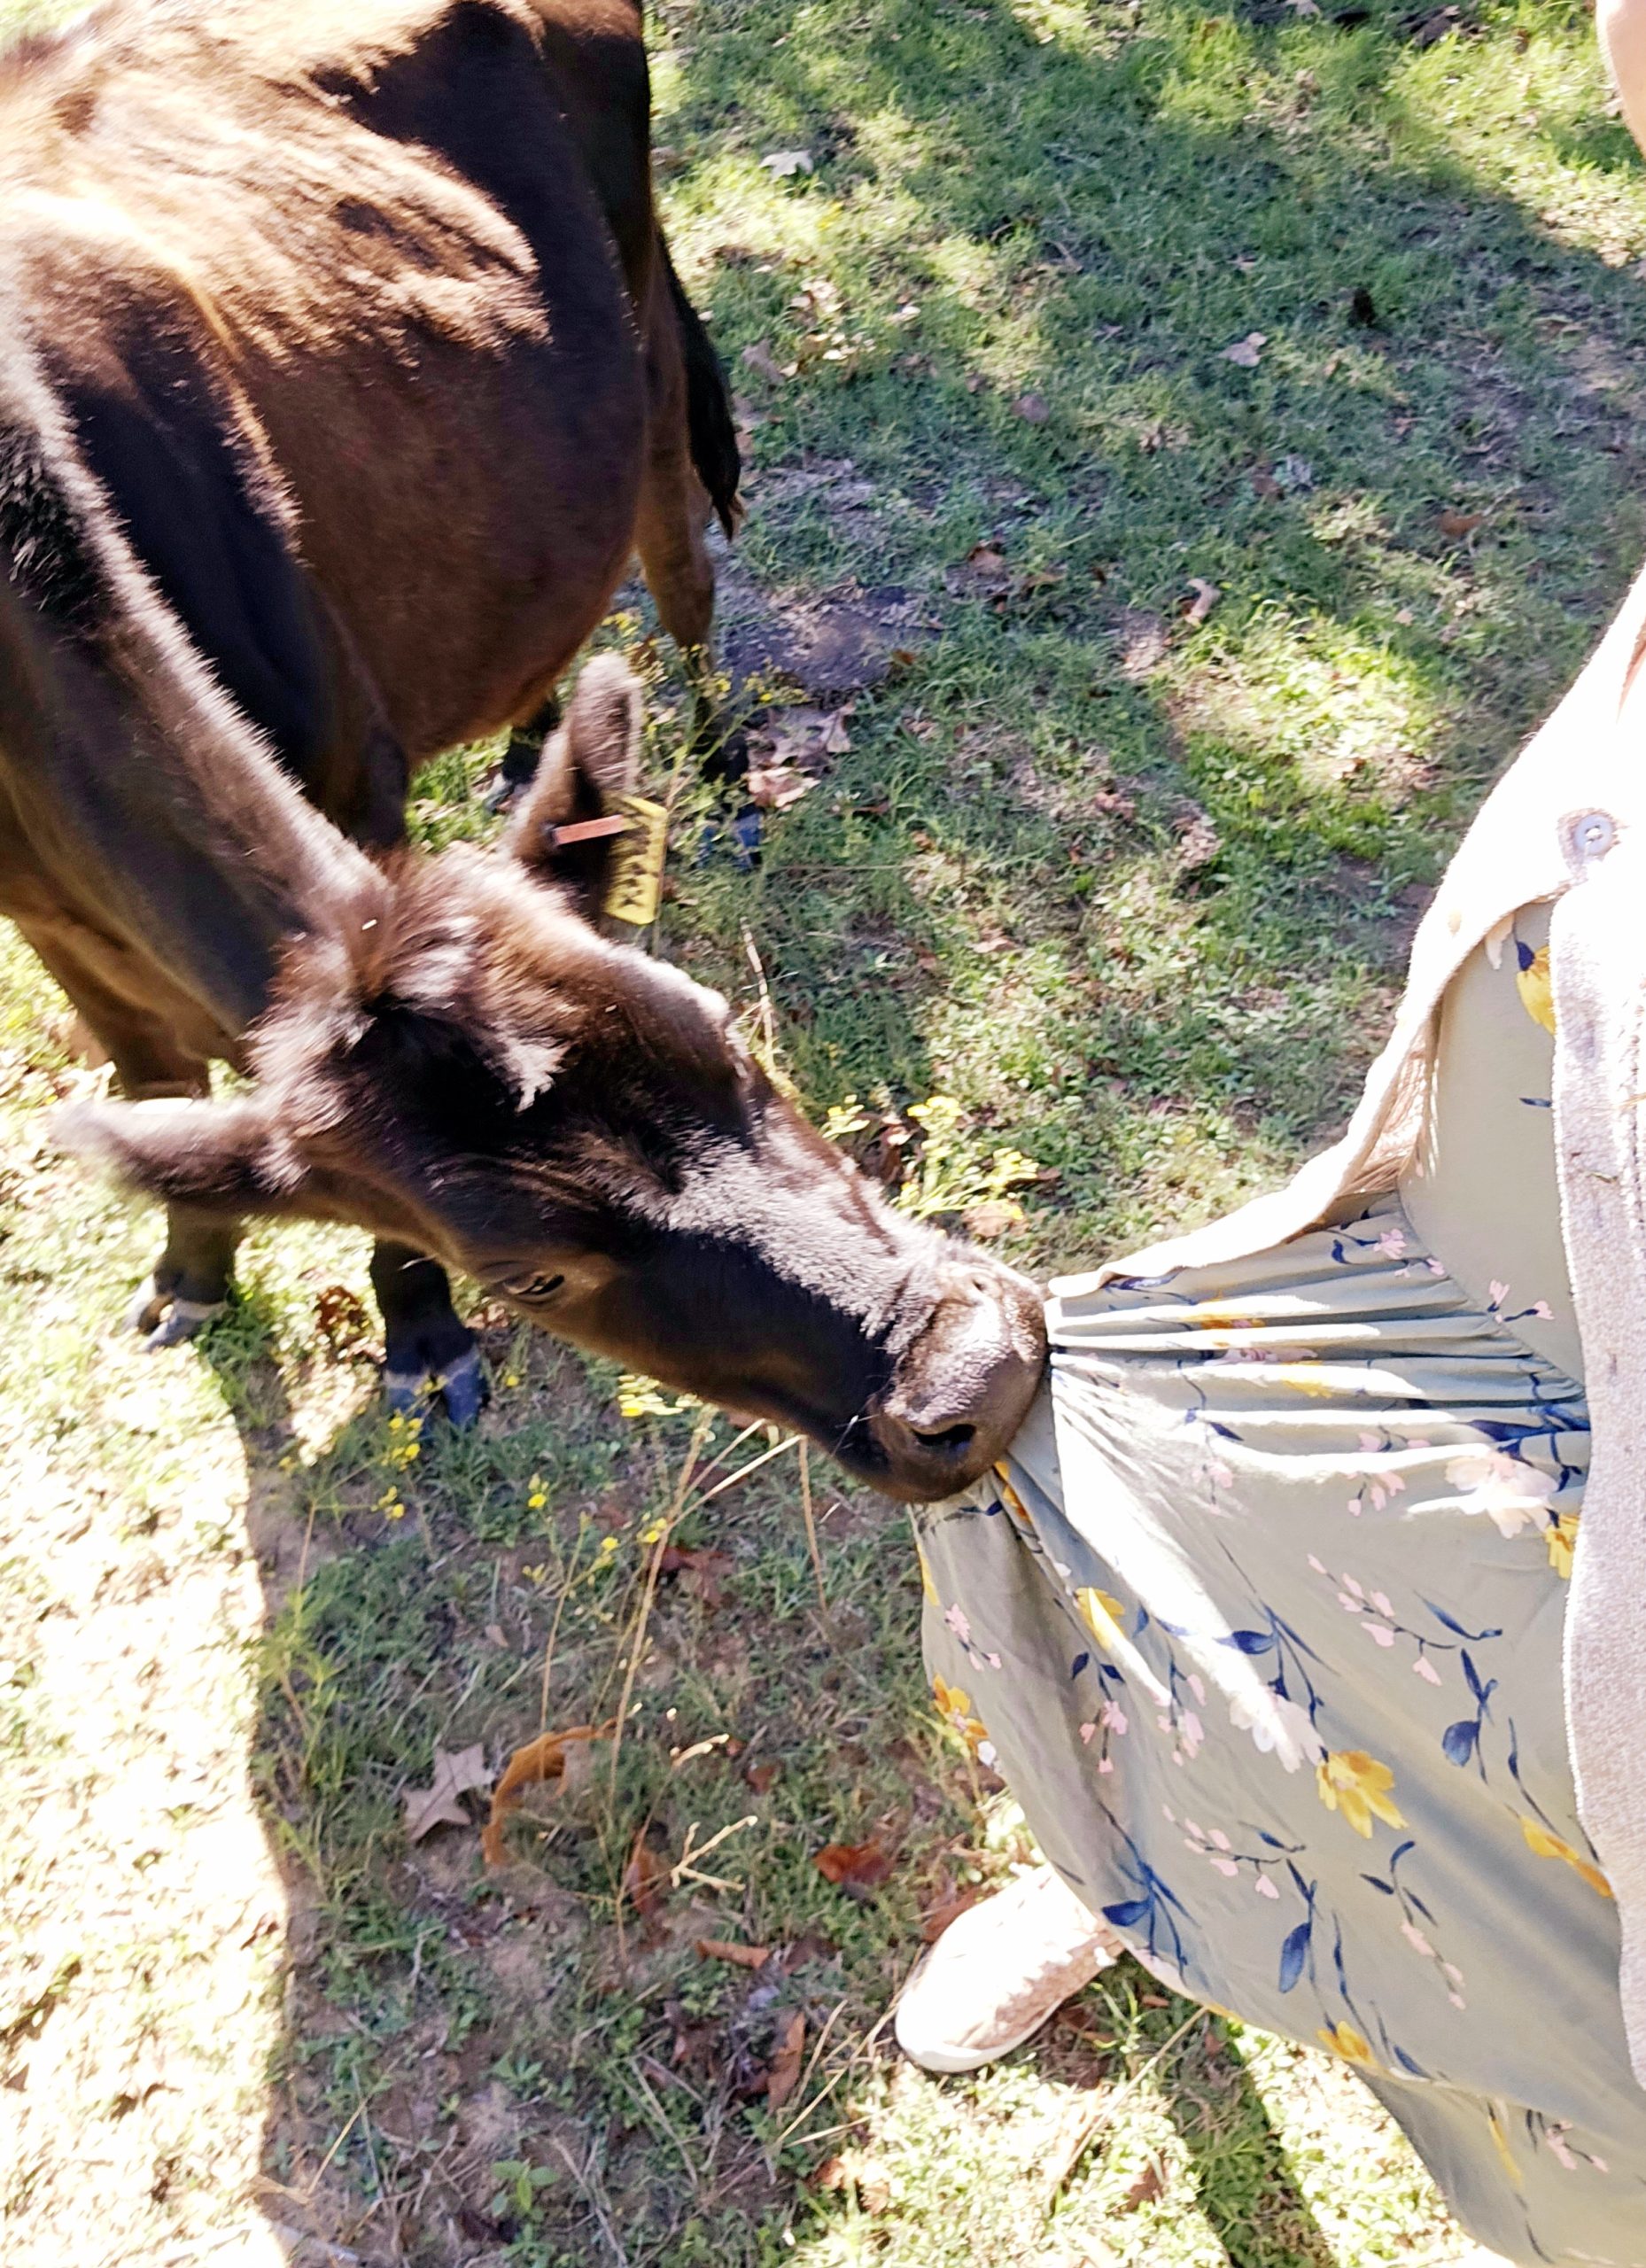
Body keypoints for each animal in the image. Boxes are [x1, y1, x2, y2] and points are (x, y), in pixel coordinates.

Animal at [0, 0, 1048, 1497]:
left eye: (728, 1040)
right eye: (533, 1274)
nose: (980, 1375)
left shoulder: (357, 788)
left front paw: (419, 1335)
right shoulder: (52, 915)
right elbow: (155, 1089)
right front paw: (192, 1274)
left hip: (647, 373)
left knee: (679, 579)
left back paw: (722, 776)